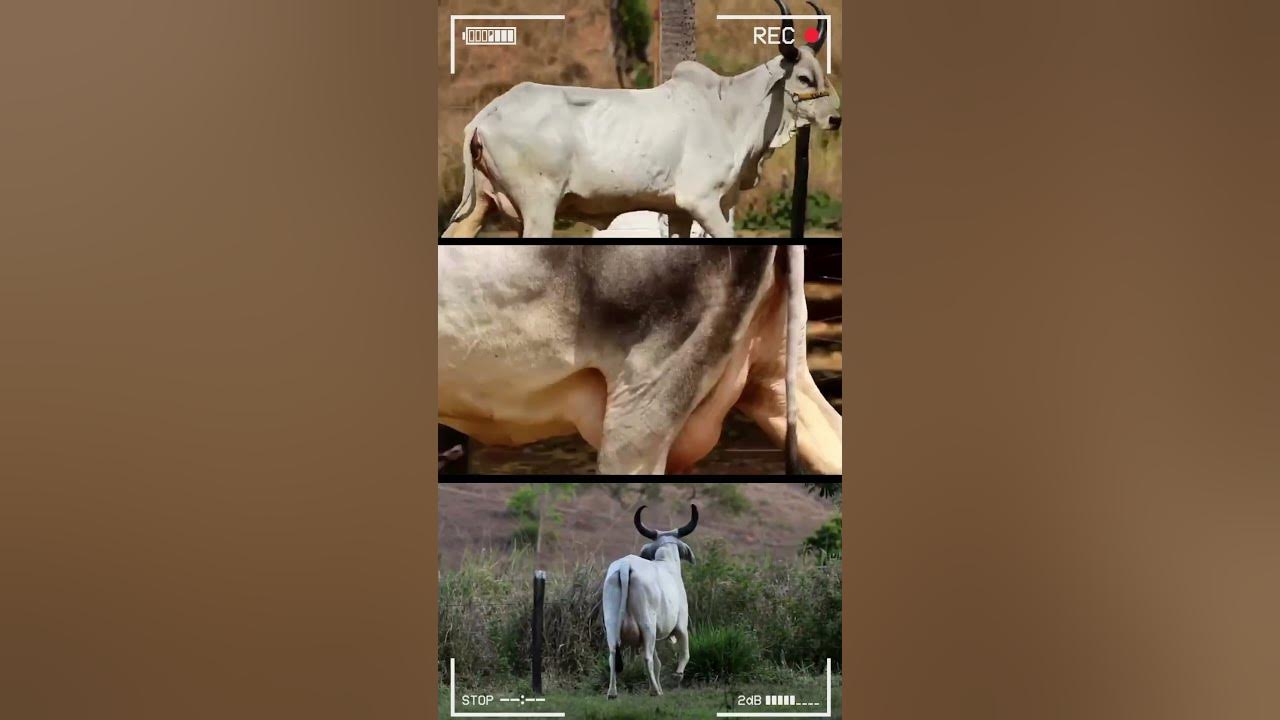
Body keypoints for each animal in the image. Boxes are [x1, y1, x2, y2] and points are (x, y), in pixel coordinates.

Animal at [442, 0, 839, 238]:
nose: (835, 118)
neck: (730, 109)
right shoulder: (702, 202)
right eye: (804, 77)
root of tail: (485, 115)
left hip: (479, 206)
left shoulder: (678, 213)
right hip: (539, 208)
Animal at [602, 504, 699, 697]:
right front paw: (677, 676)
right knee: (647, 658)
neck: (666, 563)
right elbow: (685, 654)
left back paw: (612, 692)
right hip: (648, 626)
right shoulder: (681, 626)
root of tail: (625, 566)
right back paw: (655, 691)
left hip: (613, 625)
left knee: (612, 655)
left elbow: (658, 663)